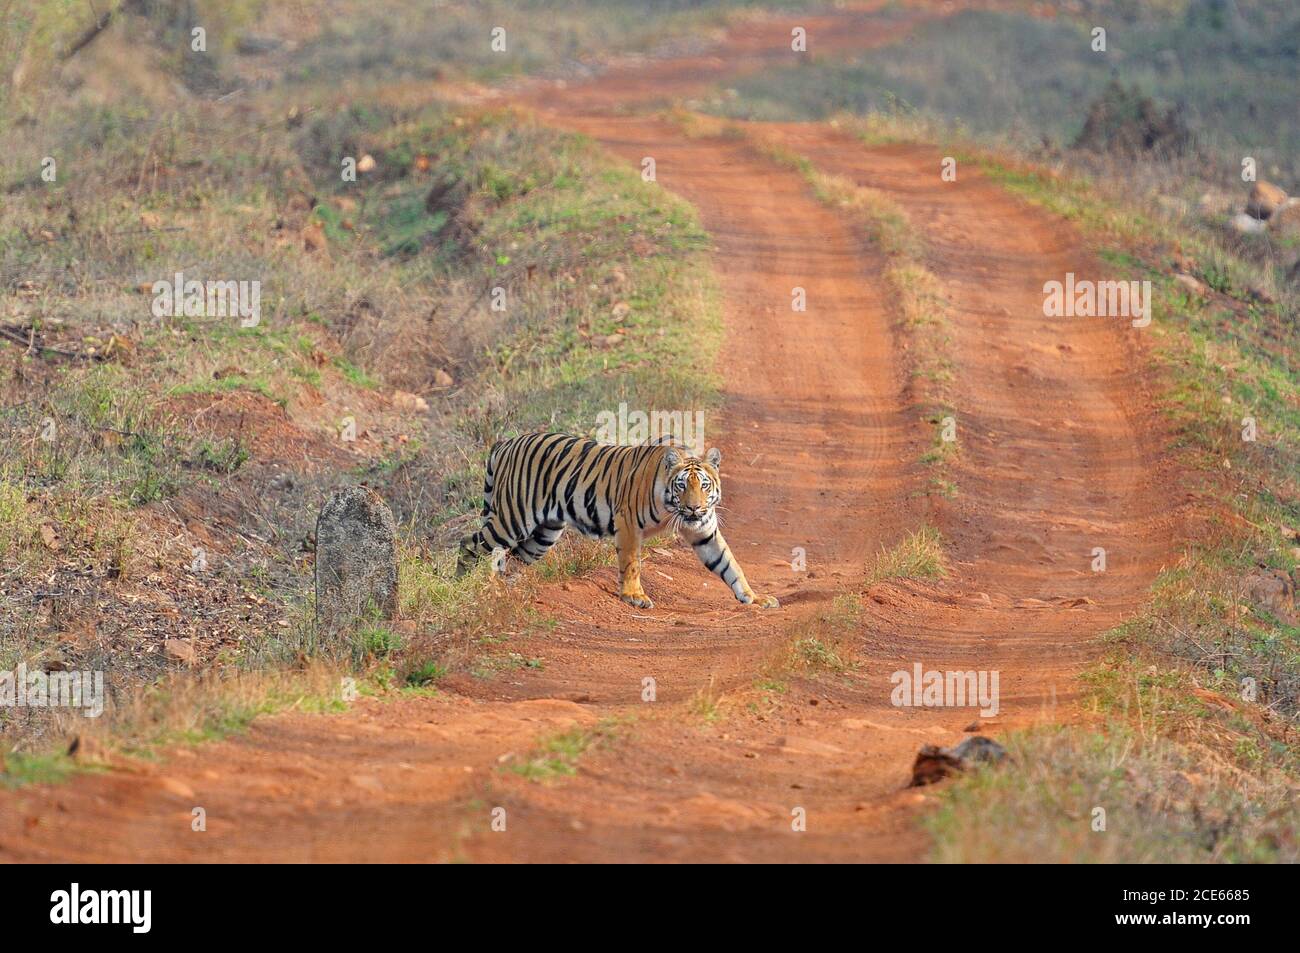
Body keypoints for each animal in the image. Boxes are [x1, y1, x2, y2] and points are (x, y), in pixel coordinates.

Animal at [456, 432, 779, 610]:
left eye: (704, 485)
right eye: (681, 486)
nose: (694, 508)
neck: (672, 507)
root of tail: (506, 443)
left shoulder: (705, 531)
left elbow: (730, 565)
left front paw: (754, 598)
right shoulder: (628, 523)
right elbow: (632, 563)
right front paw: (634, 596)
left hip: (543, 535)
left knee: (512, 562)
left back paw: (505, 595)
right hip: (512, 519)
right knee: (470, 543)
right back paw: (463, 586)